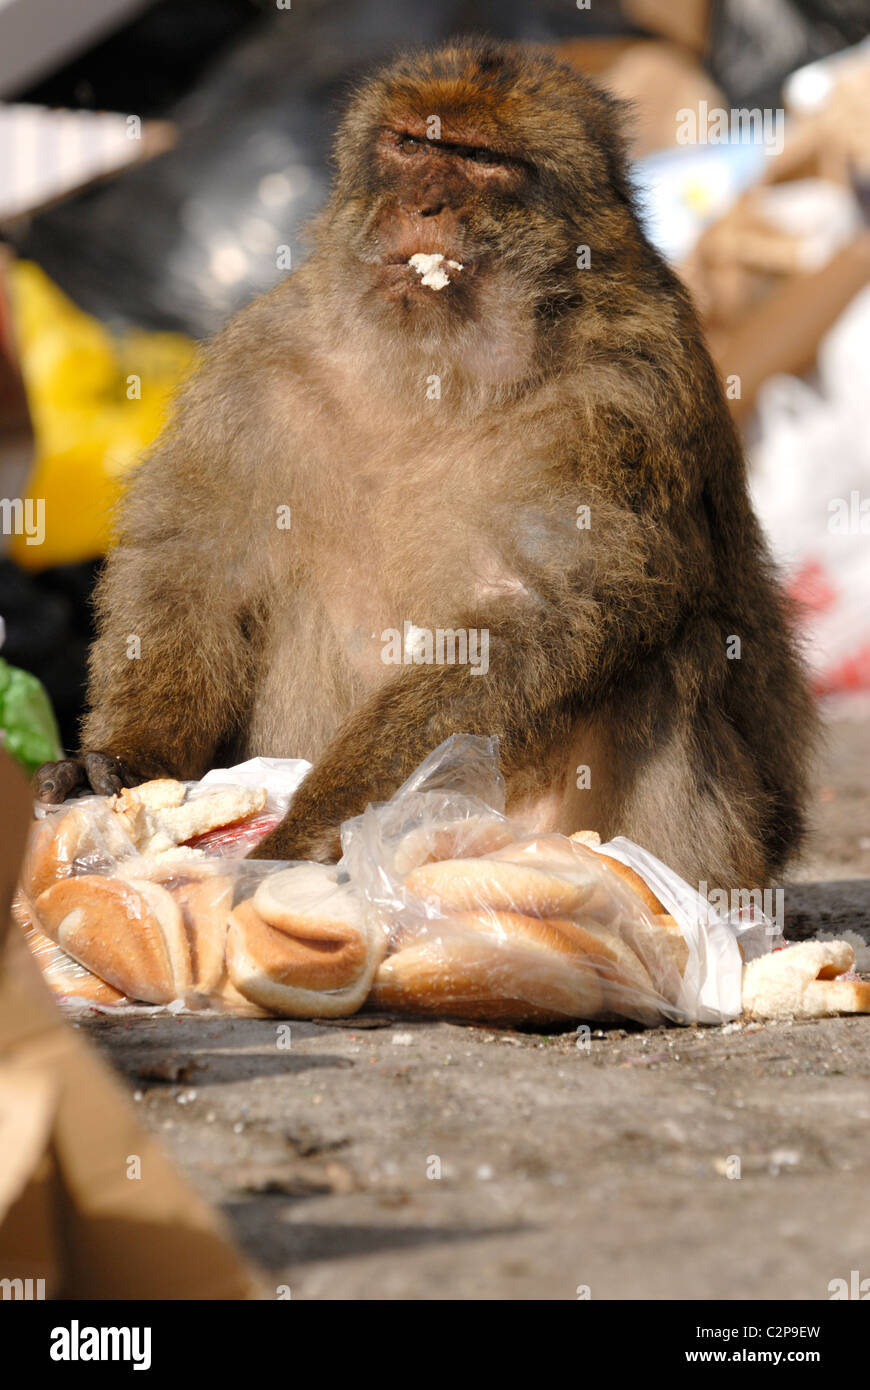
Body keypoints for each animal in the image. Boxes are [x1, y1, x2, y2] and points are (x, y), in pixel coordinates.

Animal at [34, 38, 817, 893]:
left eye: (479, 159)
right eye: (412, 145)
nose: (427, 204)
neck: (437, 378)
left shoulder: (628, 390)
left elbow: (555, 613)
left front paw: (310, 825)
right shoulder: (257, 362)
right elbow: (197, 571)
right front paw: (129, 760)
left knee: (672, 644)